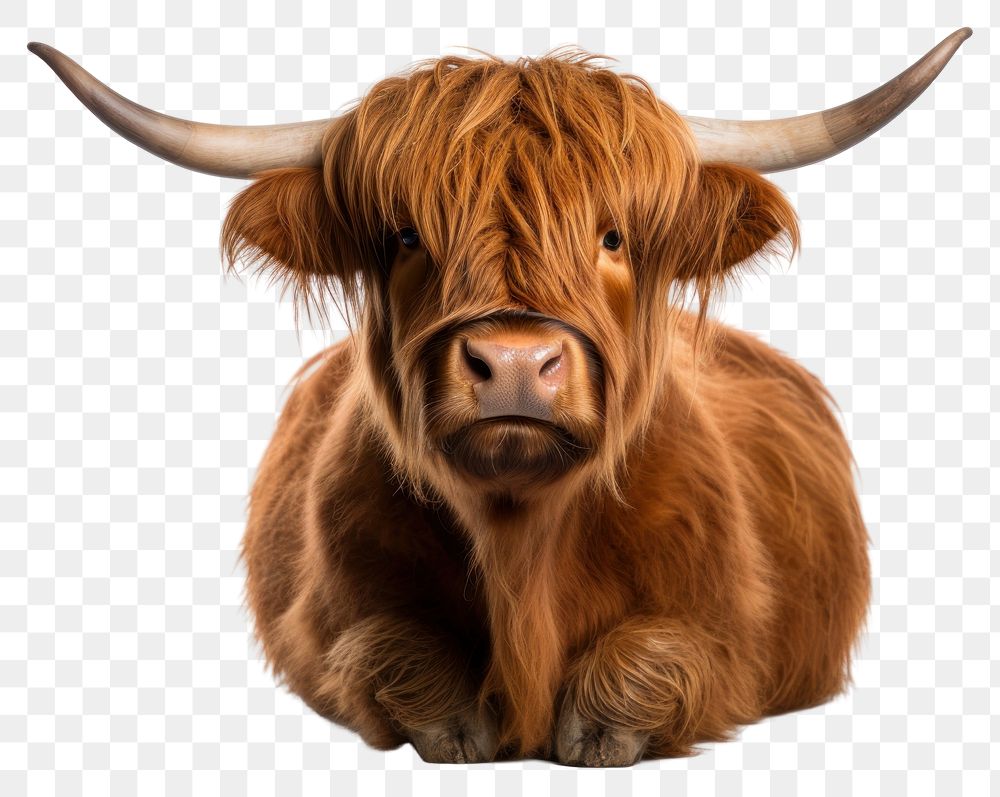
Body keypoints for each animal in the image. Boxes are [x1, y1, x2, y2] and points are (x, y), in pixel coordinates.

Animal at [30, 29, 970, 766]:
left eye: (613, 236)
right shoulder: (323, 623)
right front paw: (460, 721)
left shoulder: (741, 635)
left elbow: (660, 657)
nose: (516, 361)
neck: (521, 539)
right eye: (406, 235)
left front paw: (591, 727)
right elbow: (384, 648)